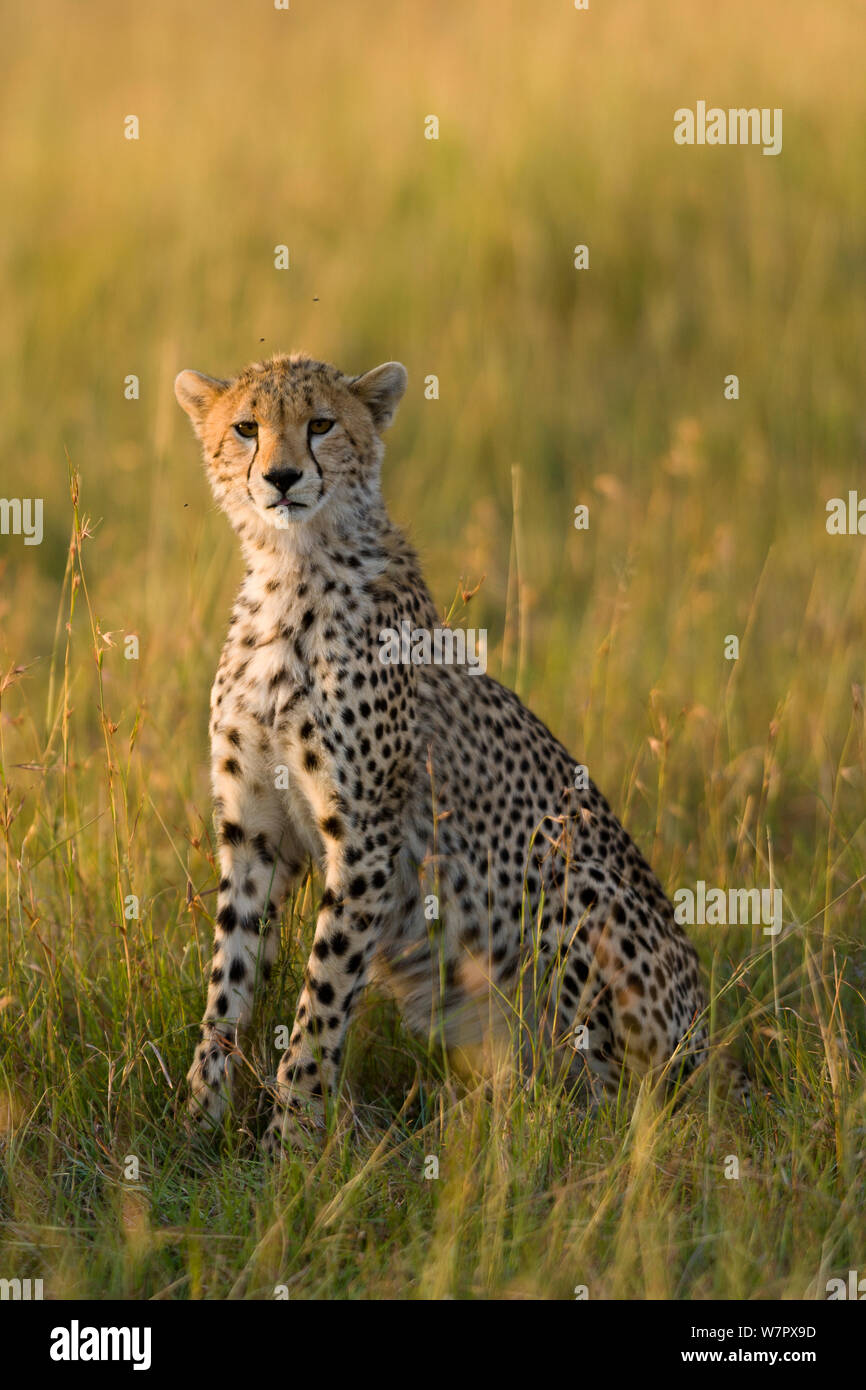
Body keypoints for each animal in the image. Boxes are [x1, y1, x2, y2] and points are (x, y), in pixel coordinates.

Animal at [174, 351, 746, 1153]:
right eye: (246, 428)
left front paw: (292, 1138)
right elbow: (227, 984)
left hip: (577, 884)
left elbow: (322, 996)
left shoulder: (367, 836)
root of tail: (708, 1043)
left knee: (616, 1092)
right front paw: (199, 1123)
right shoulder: (255, 831)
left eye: (321, 424)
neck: (292, 569)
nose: (282, 478)